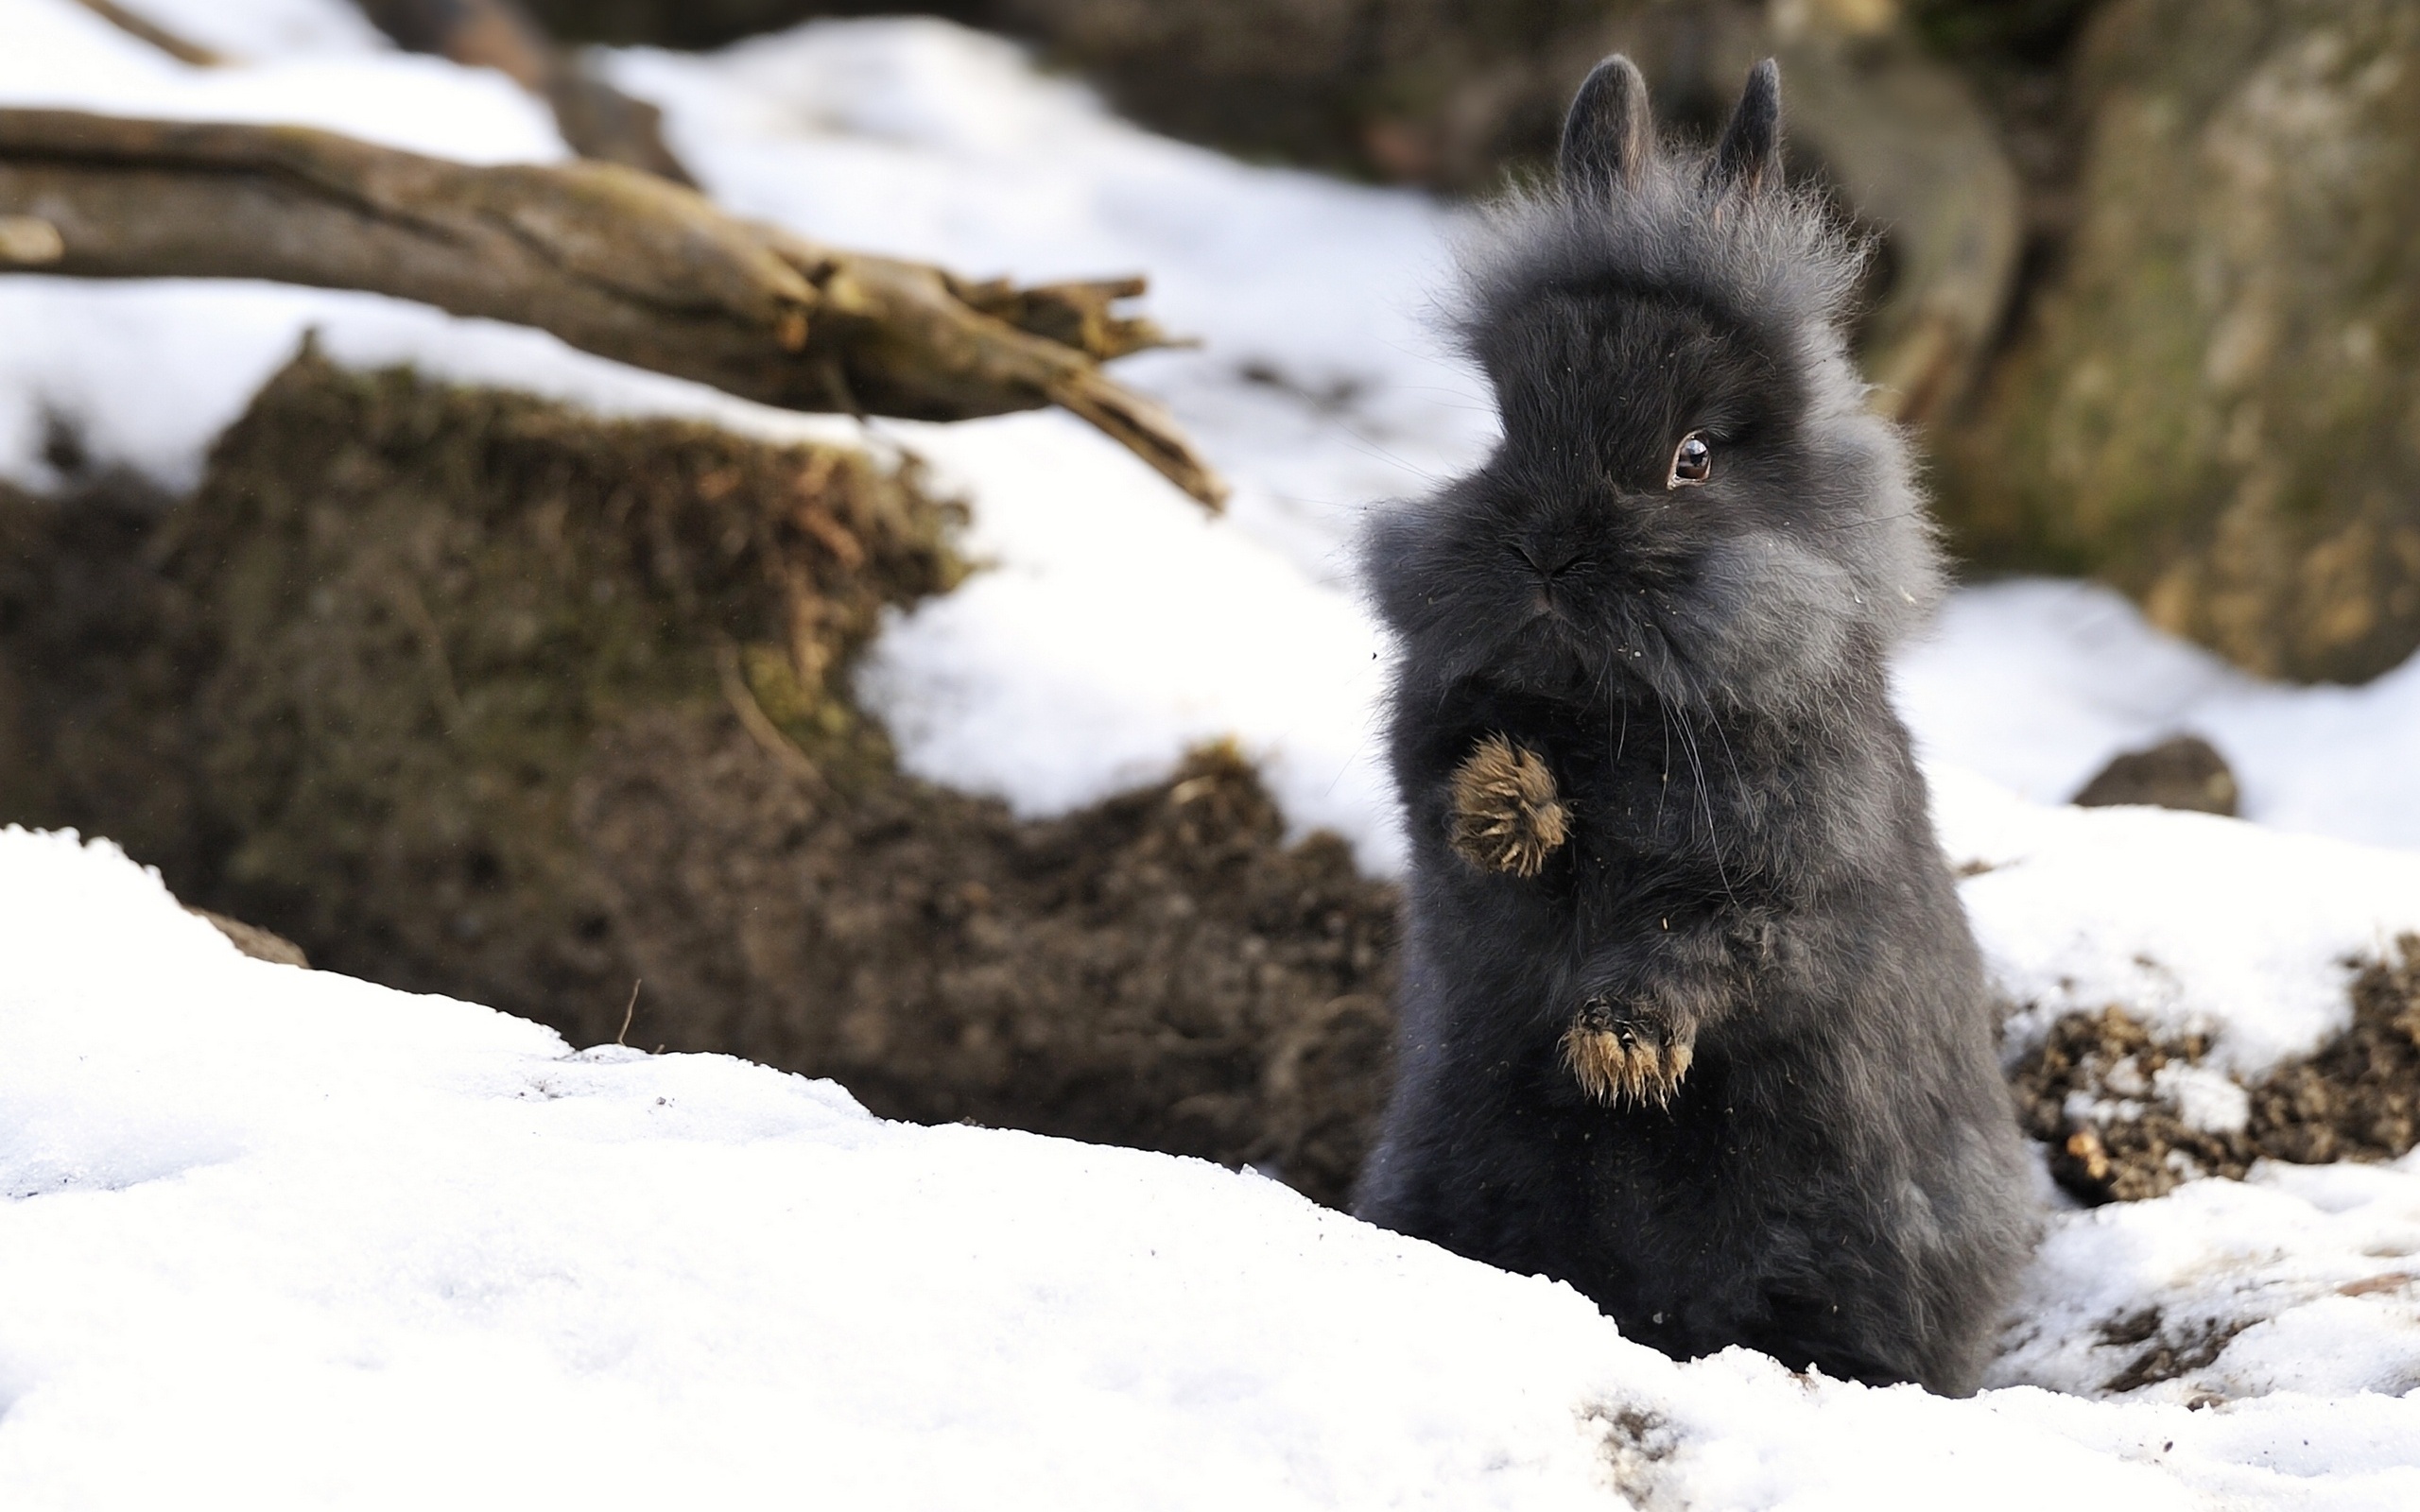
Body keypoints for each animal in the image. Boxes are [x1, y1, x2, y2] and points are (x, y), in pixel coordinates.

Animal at [1350, 55, 2034, 1395]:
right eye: (1508, 429)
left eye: (1695, 459)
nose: (1547, 553)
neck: (1608, 711)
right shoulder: (1432, 767)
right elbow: (1461, 804)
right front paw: (1512, 802)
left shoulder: (1786, 890)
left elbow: (1706, 948)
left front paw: (1618, 1051)